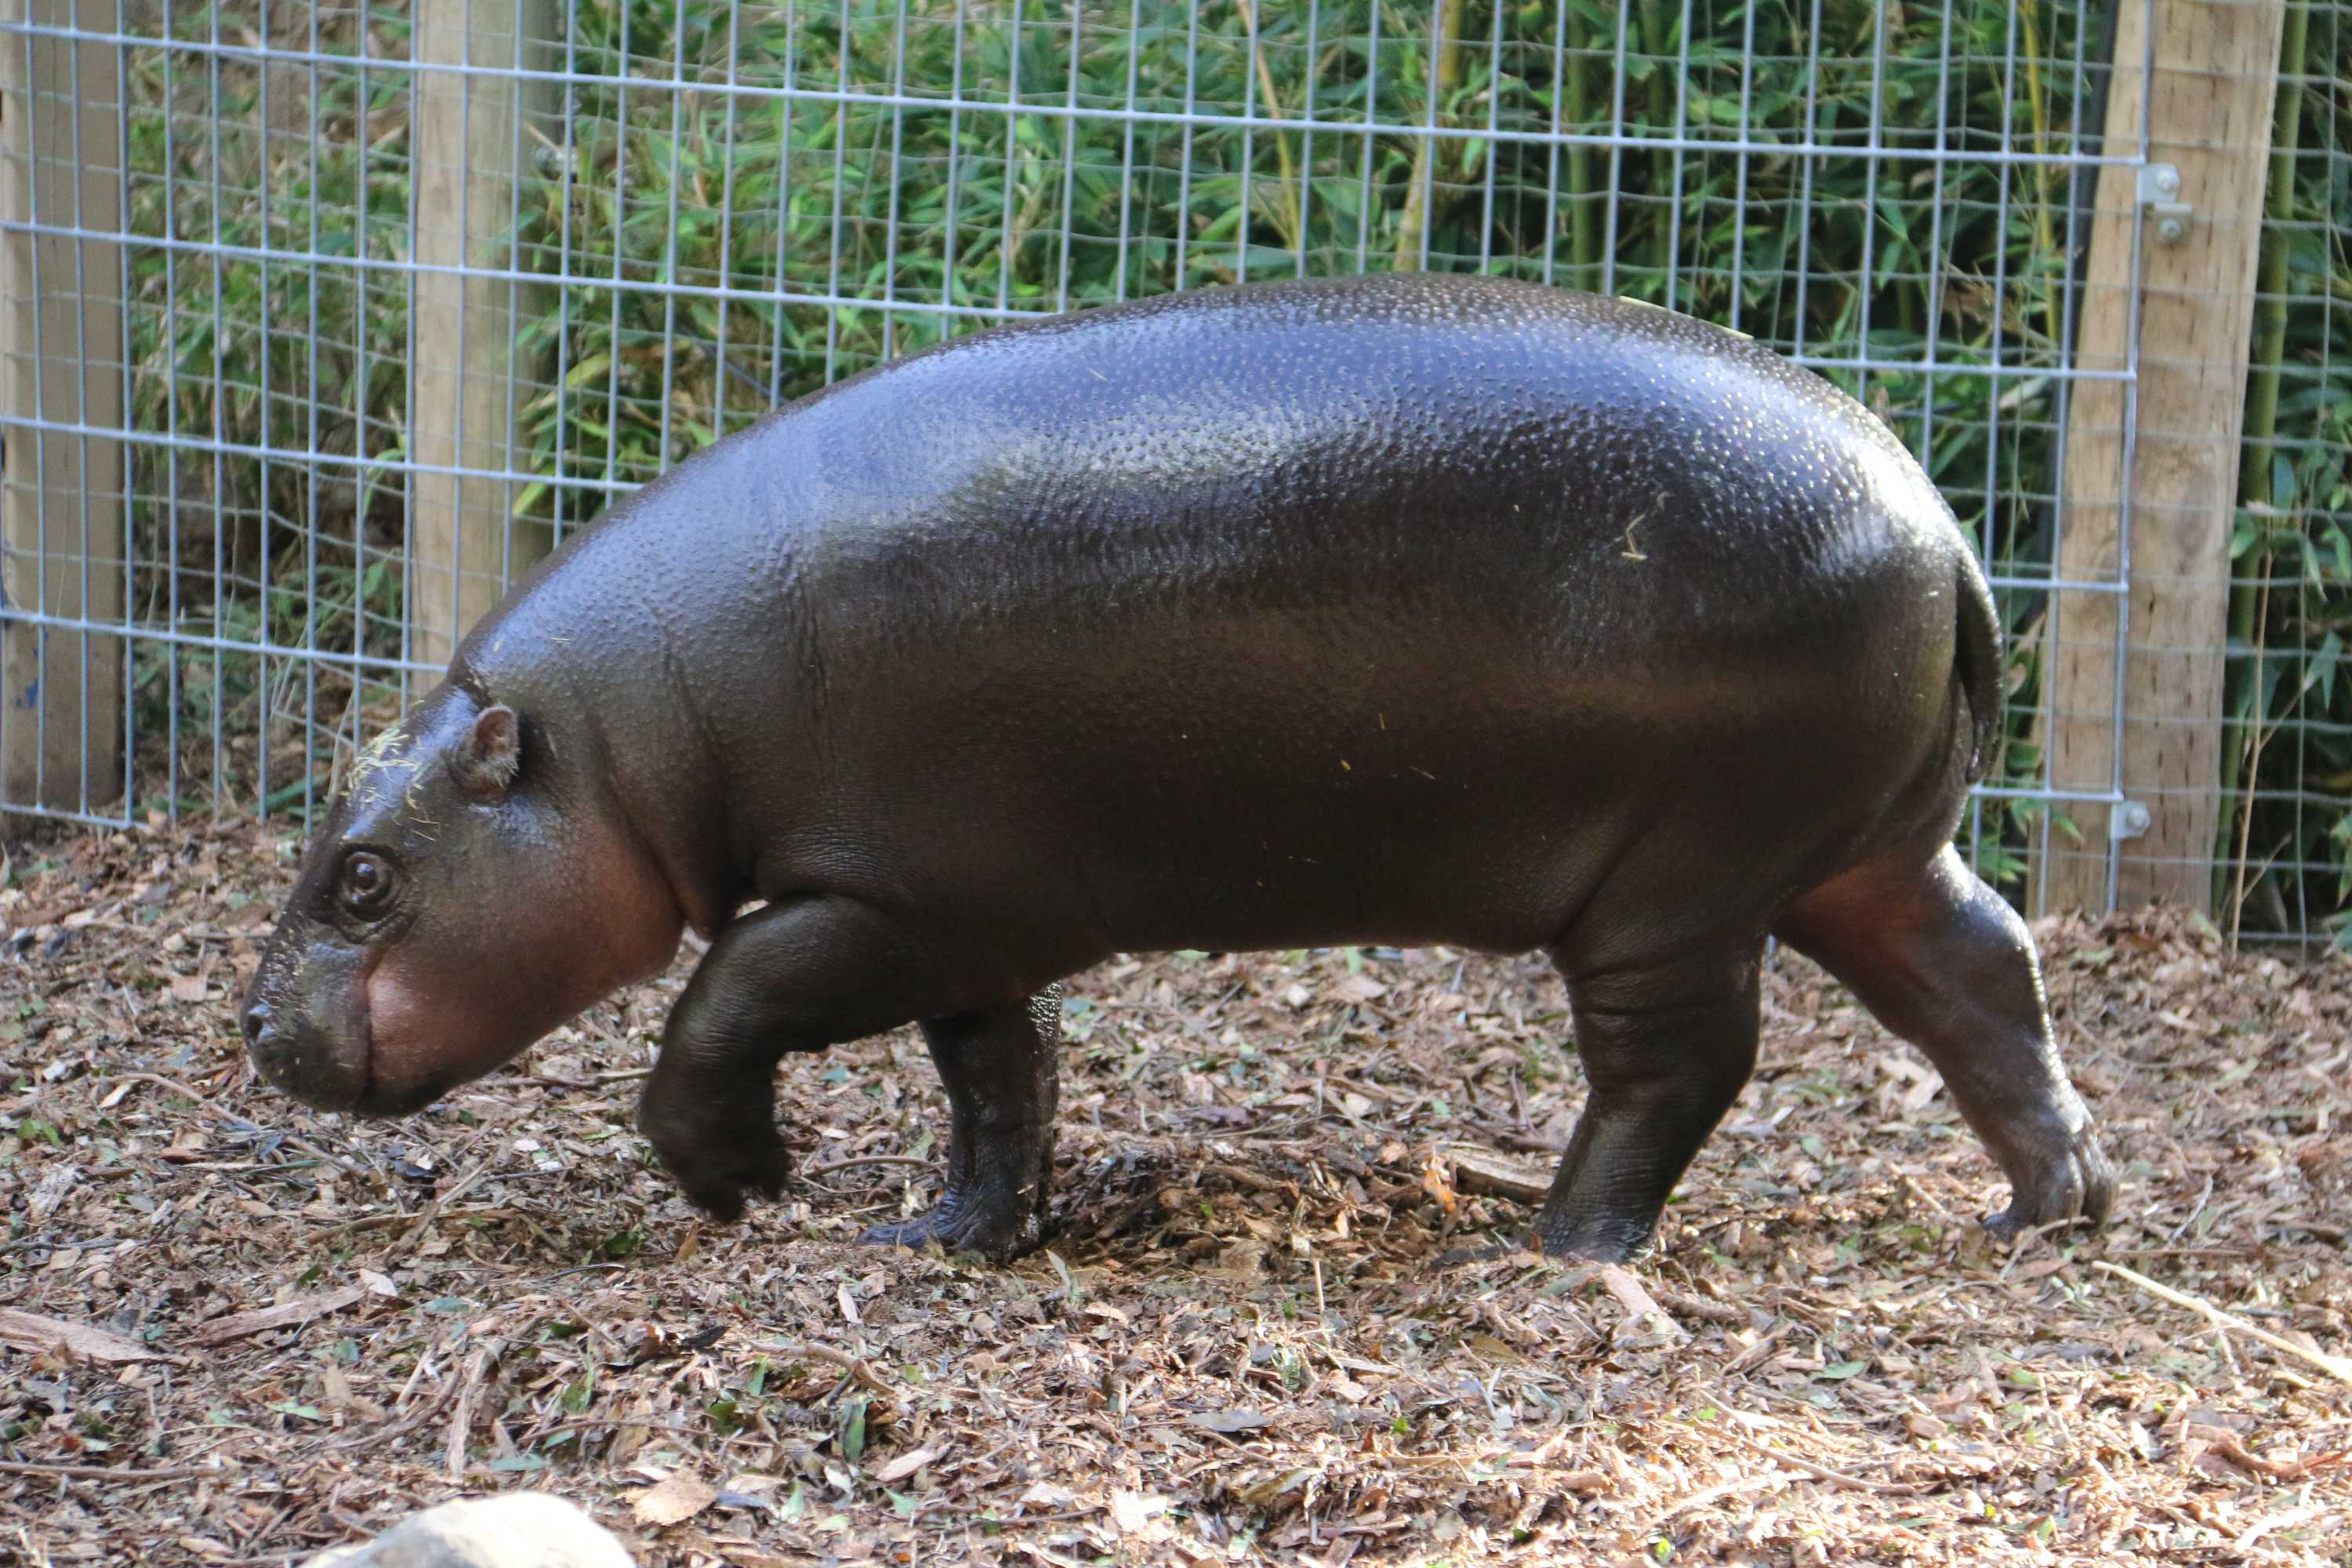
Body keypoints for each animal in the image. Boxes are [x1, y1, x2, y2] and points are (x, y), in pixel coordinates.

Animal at [241, 273, 2115, 1264]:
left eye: (363, 873)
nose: (255, 1026)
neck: (619, 740)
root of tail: (1934, 513)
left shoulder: (867, 900)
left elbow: (720, 1007)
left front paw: (747, 1186)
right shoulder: (960, 914)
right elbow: (998, 1081)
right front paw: (953, 1236)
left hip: (1675, 883)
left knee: (1682, 1067)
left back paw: (1560, 1241)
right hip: (1851, 848)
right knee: (1980, 967)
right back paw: (2051, 1207)